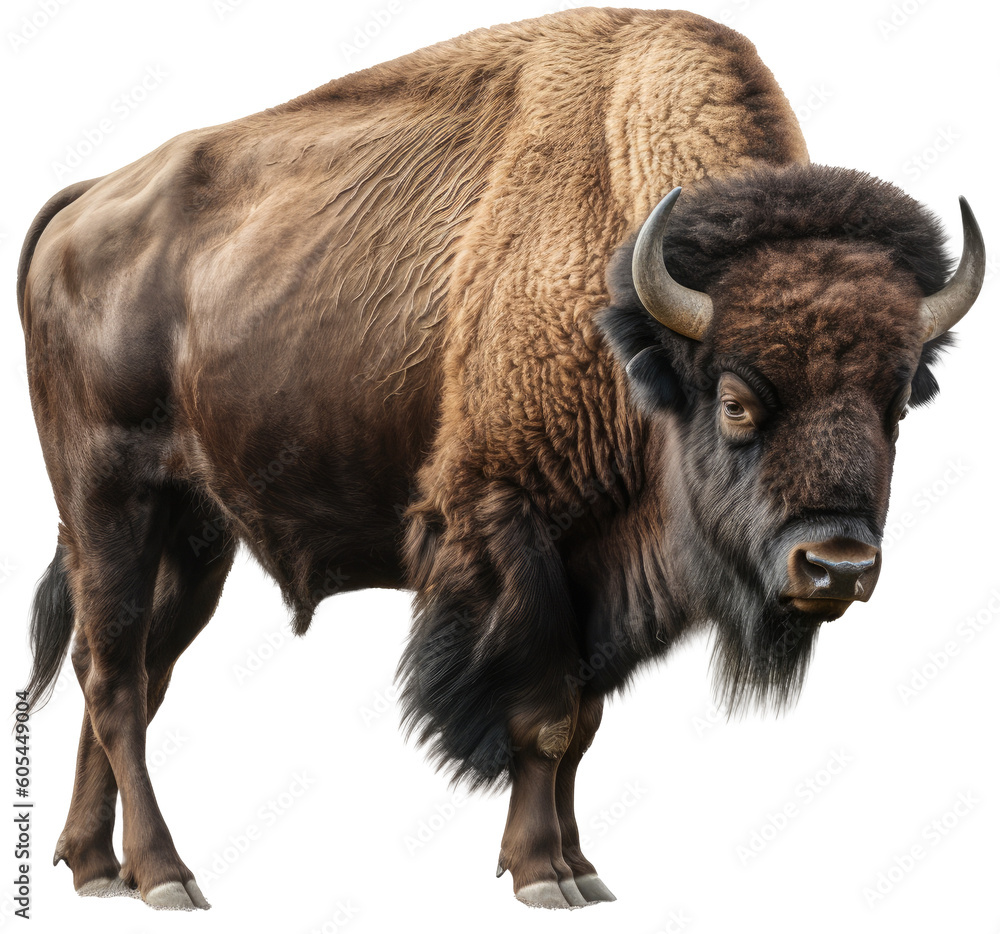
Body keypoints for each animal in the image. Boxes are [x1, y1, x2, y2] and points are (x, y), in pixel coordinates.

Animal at [17, 6, 984, 912]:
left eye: (898, 402)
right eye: (736, 401)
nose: (837, 565)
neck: (630, 314)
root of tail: (84, 201)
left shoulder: (596, 574)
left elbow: (581, 723)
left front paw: (582, 868)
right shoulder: (511, 533)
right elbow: (543, 717)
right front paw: (541, 874)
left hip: (194, 537)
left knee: (134, 671)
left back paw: (95, 867)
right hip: (108, 503)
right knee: (114, 679)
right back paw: (164, 875)